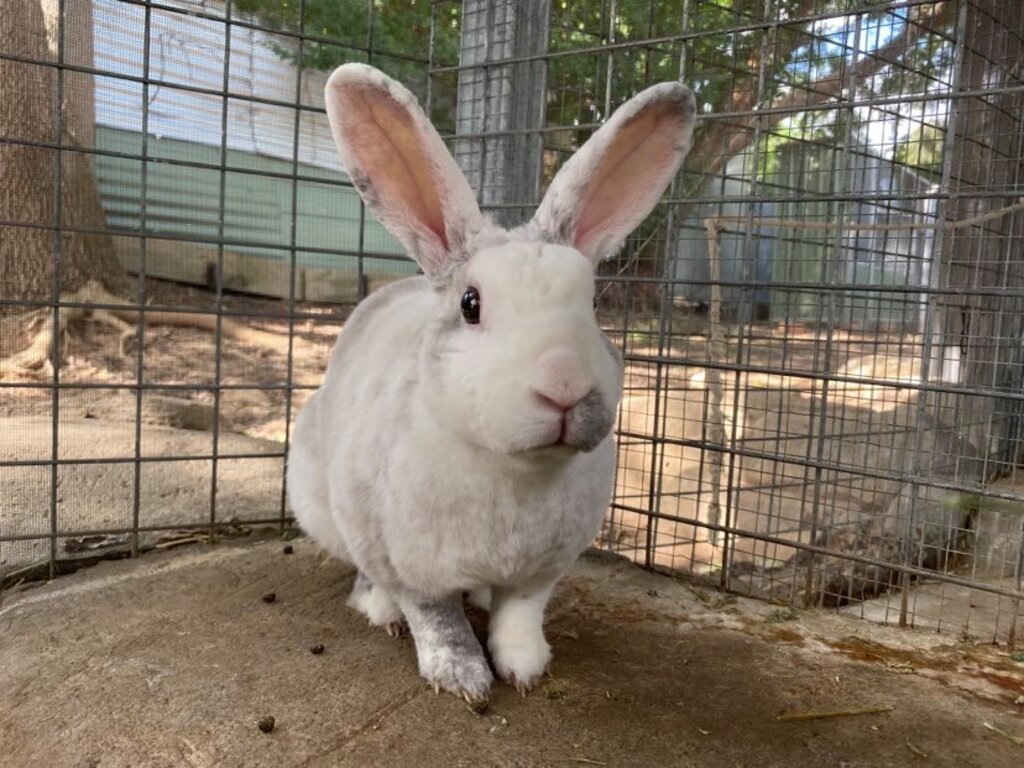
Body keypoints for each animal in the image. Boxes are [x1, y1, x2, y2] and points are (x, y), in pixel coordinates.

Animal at [287, 63, 697, 703]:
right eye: (471, 303)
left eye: (592, 305)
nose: (564, 384)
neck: (512, 470)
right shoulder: (410, 565)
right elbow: (437, 620)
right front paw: (463, 679)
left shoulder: (539, 572)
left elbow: (519, 616)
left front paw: (526, 668)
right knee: (366, 575)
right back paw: (378, 608)